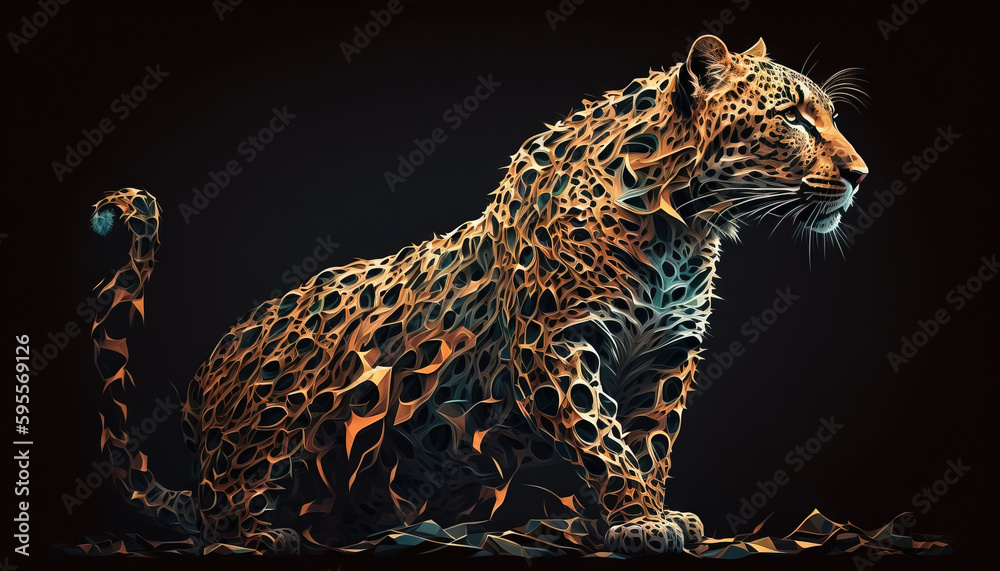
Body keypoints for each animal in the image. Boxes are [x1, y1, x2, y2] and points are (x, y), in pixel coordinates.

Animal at [87, 35, 868, 556]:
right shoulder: (557, 342)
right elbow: (601, 433)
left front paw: (632, 515)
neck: (685, 222)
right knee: (219, 514)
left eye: (830, 115)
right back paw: (260, 533)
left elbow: (648, 436)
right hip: (278, 417)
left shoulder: (667, 350)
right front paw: (641, 517)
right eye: (794, 118)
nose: (861, 173)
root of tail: (201, 391)